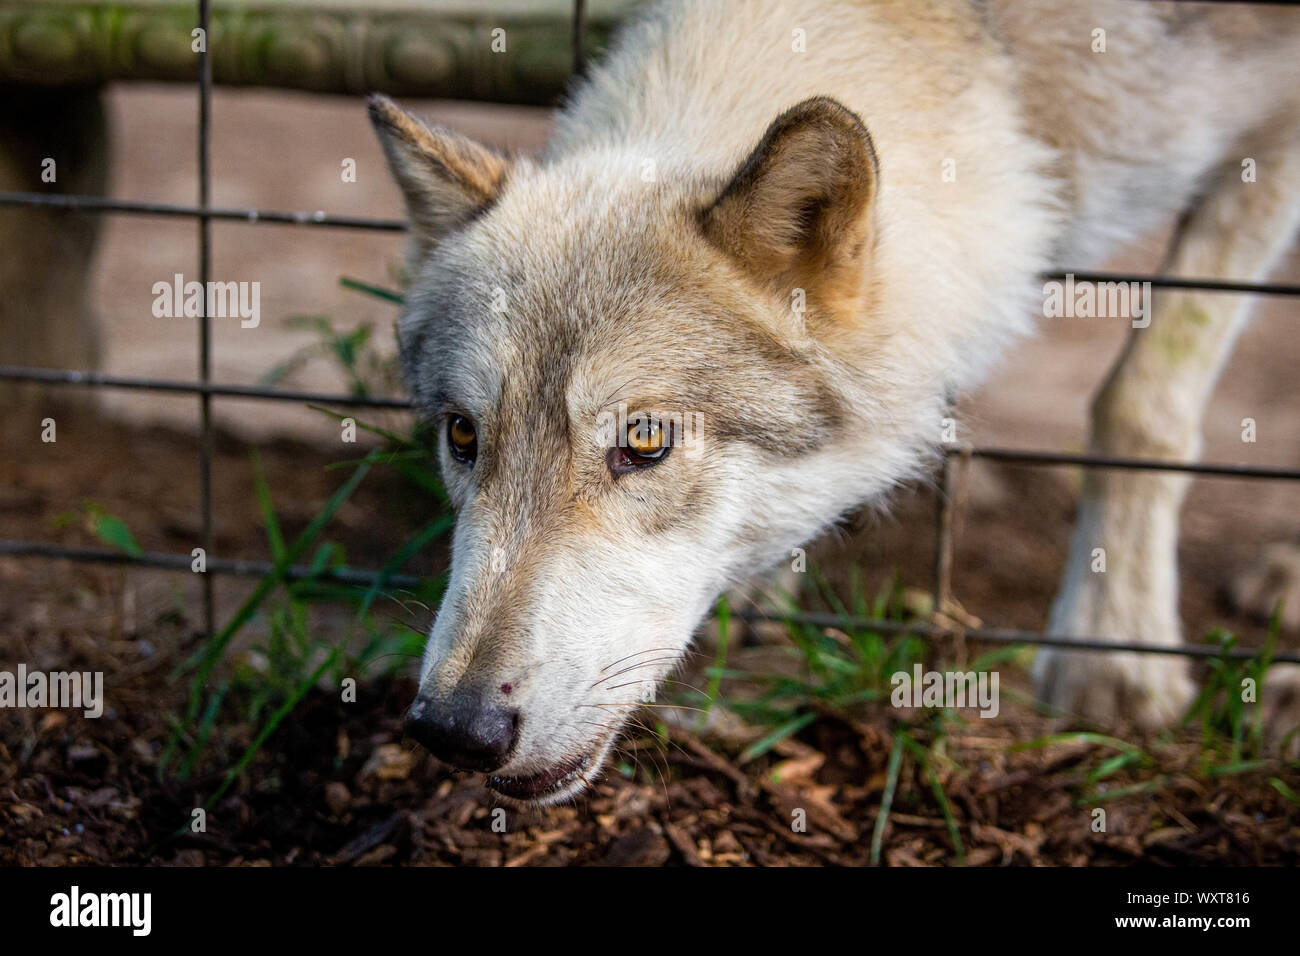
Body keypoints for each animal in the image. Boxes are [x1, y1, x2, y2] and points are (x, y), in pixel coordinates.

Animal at [369, 0, 1300, 804]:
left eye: (645, 442)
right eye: (463, 436)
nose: (453, 728)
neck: (985, 42)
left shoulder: (1273, 127)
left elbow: (1139, 405)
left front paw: (1114, 652)